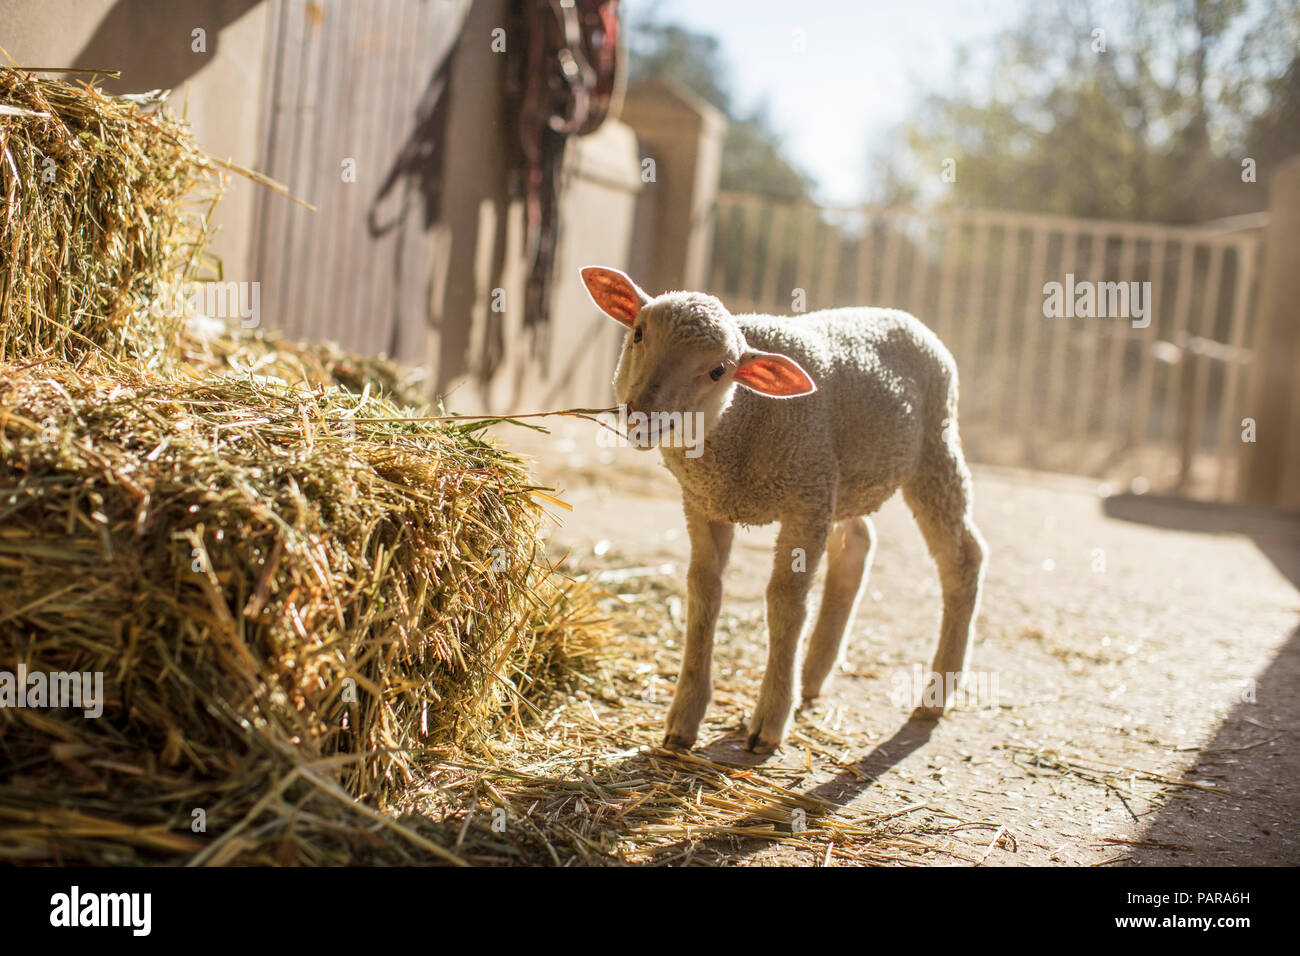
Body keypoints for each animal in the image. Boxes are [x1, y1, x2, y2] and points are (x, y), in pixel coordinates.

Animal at [580, 265, 987, 753]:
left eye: (718, 371)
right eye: (639, 333)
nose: (643, 414)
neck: (744, 417)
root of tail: (903, 316)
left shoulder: (804, 501)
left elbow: (785, 602)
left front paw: (769, 722)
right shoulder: (704, 504)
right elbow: (704, 593)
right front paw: (684, 718)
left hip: (932, 451)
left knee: (961, 558)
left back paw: (934, 695)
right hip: (841, 479)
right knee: (857, 544)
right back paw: (812, 676)